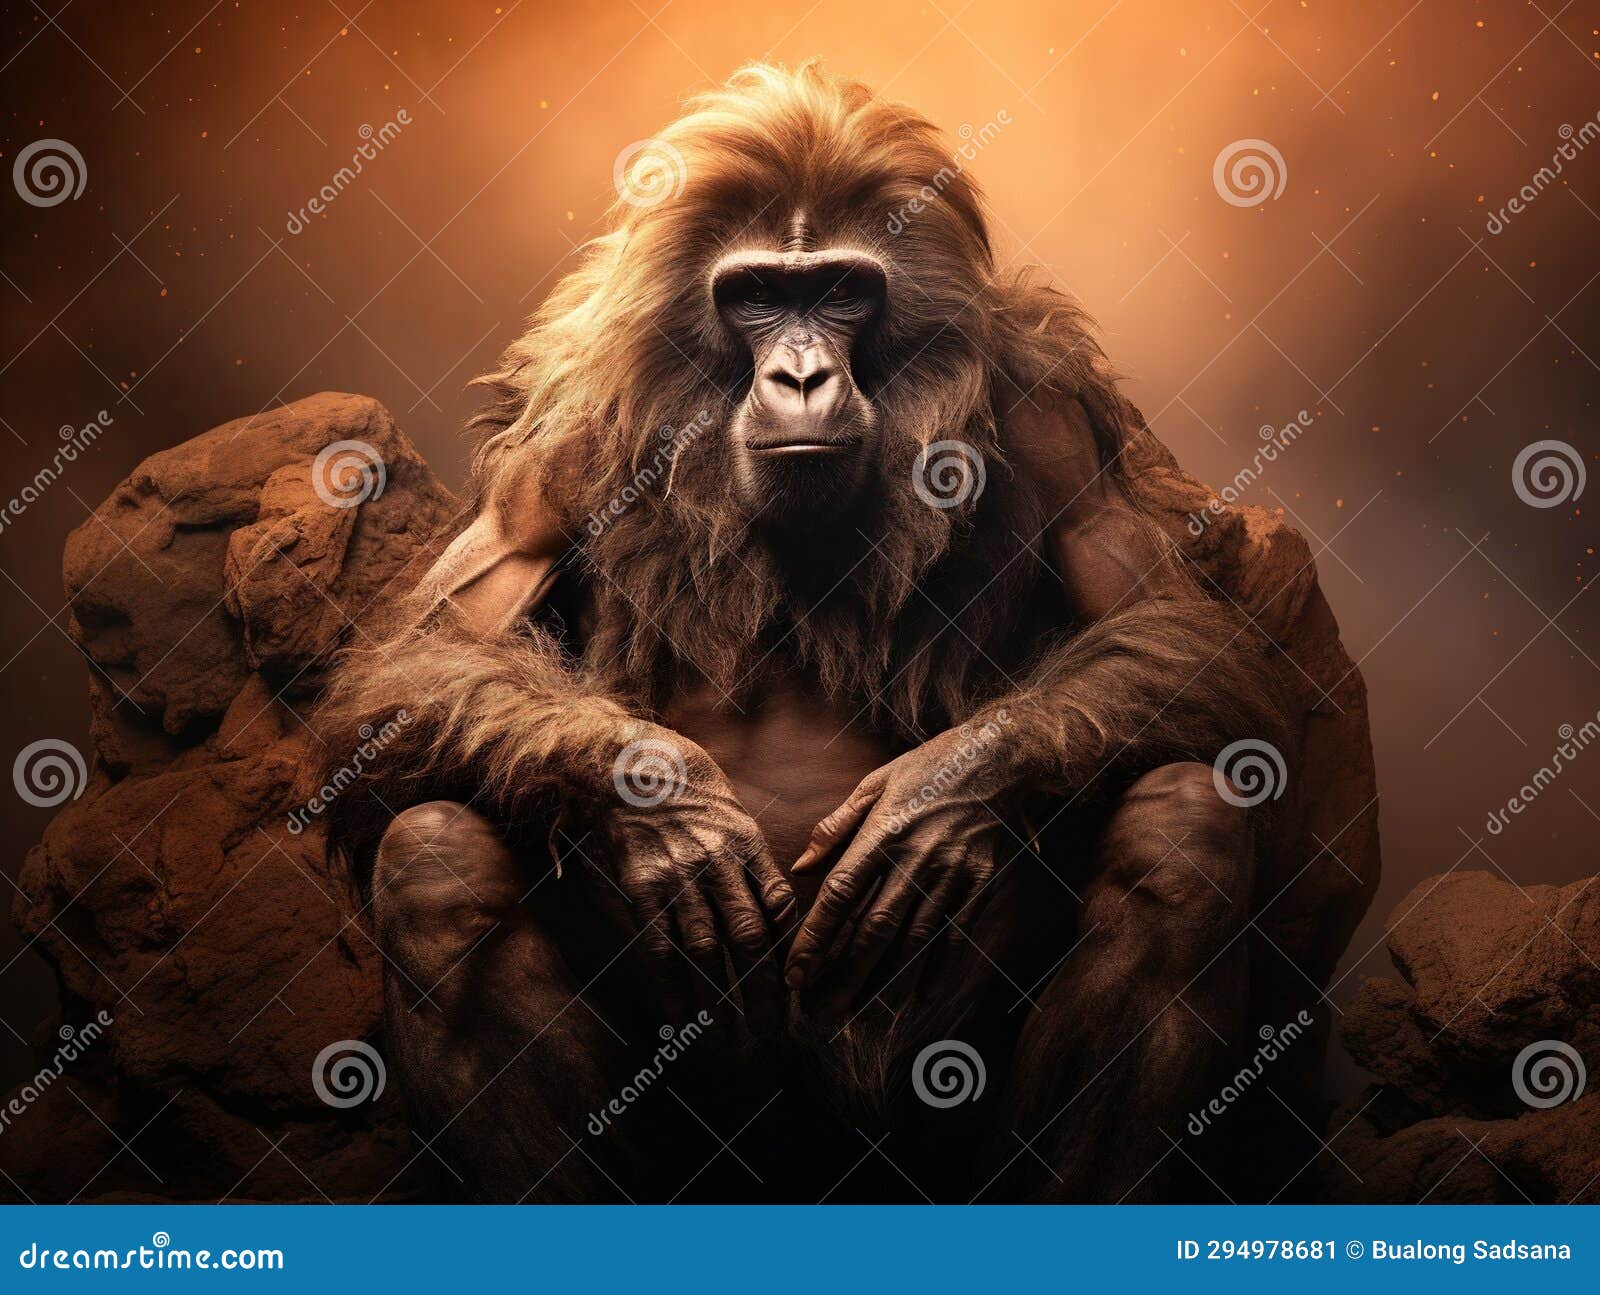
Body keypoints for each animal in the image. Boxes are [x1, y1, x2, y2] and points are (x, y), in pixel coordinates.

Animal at [315, 62, 1290, 1203]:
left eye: (836, 291)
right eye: (756, 296)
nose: (801, 376)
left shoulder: (1044, 407)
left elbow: (1175, 626)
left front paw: (939, 795)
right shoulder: (559, 444)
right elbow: (426, 658)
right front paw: (668, 802)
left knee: (1183, 828)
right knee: (434, 859)